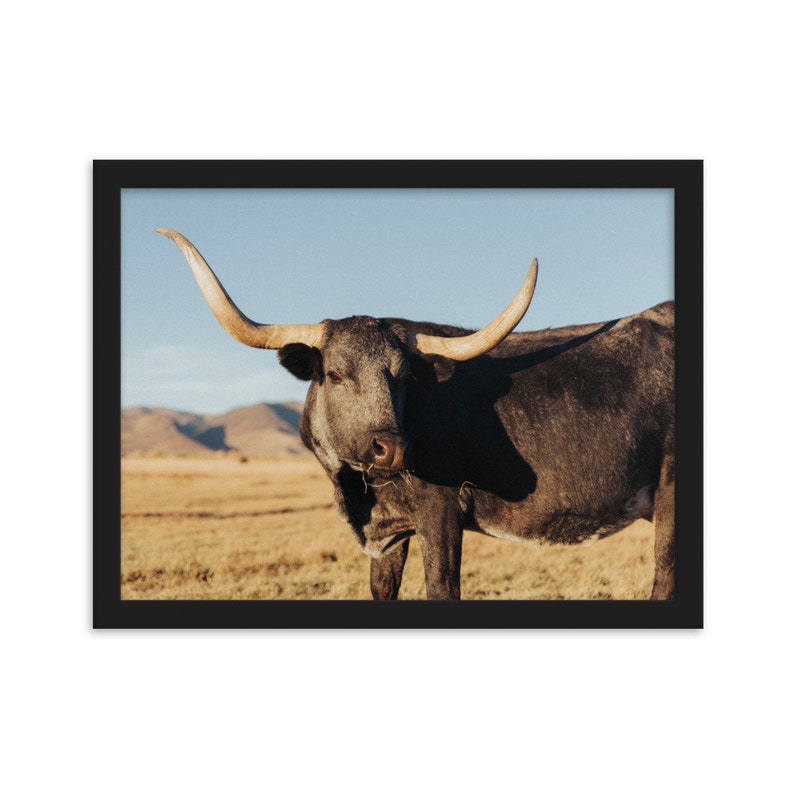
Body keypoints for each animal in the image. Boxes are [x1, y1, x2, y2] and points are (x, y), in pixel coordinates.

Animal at [156, 228, 675, 600]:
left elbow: (442, 589)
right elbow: (382, 590)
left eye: (403, 376)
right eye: (336, 374)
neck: (361, 493)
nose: (392, 448)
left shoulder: (440, 514)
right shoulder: (390, 535)